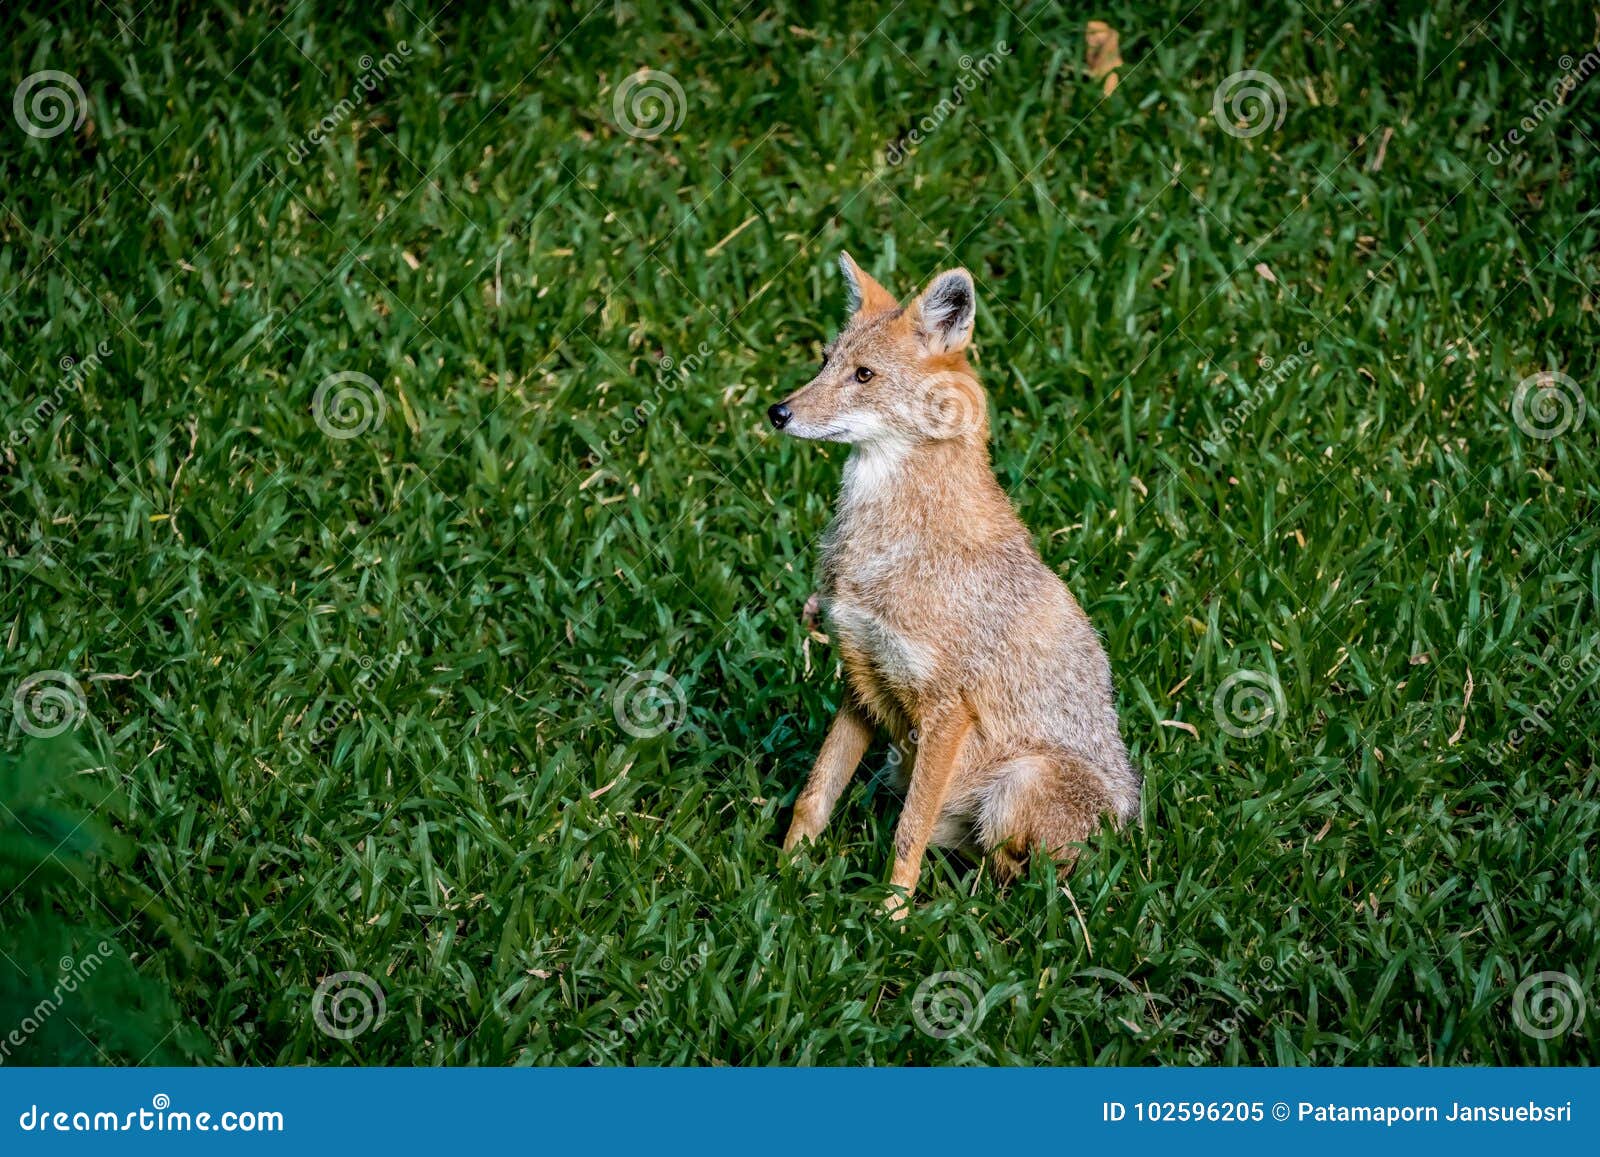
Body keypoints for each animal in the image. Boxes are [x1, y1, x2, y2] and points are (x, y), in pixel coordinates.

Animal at [769, 253, 1141, 915]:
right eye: (824, 361)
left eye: (864, 375)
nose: (778, 412)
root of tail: (1131, 821)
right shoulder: (861, 682)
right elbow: (814, 797)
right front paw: (784, 881)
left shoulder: (946, 711)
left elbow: (908, 830)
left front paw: (890, 917)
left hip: (1018, 785)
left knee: (1021, 876)